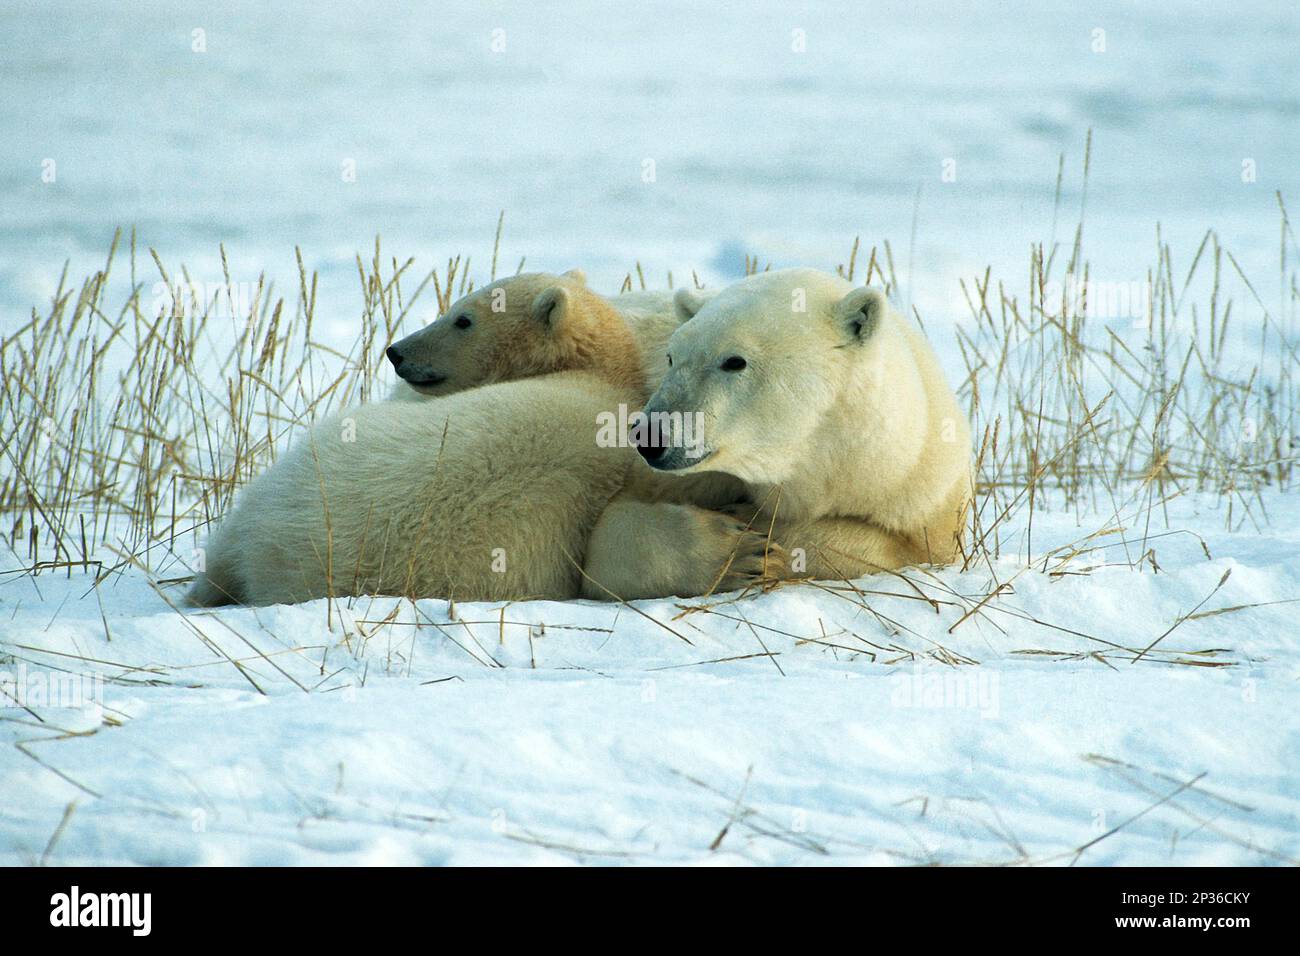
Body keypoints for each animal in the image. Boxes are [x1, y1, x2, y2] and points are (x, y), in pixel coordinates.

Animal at [577, 269, 967, 598]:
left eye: (734, 361)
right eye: (672, 357)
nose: (649, 436)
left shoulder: (919, 487)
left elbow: (893, 547)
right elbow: (607, 541)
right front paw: (738, 552)